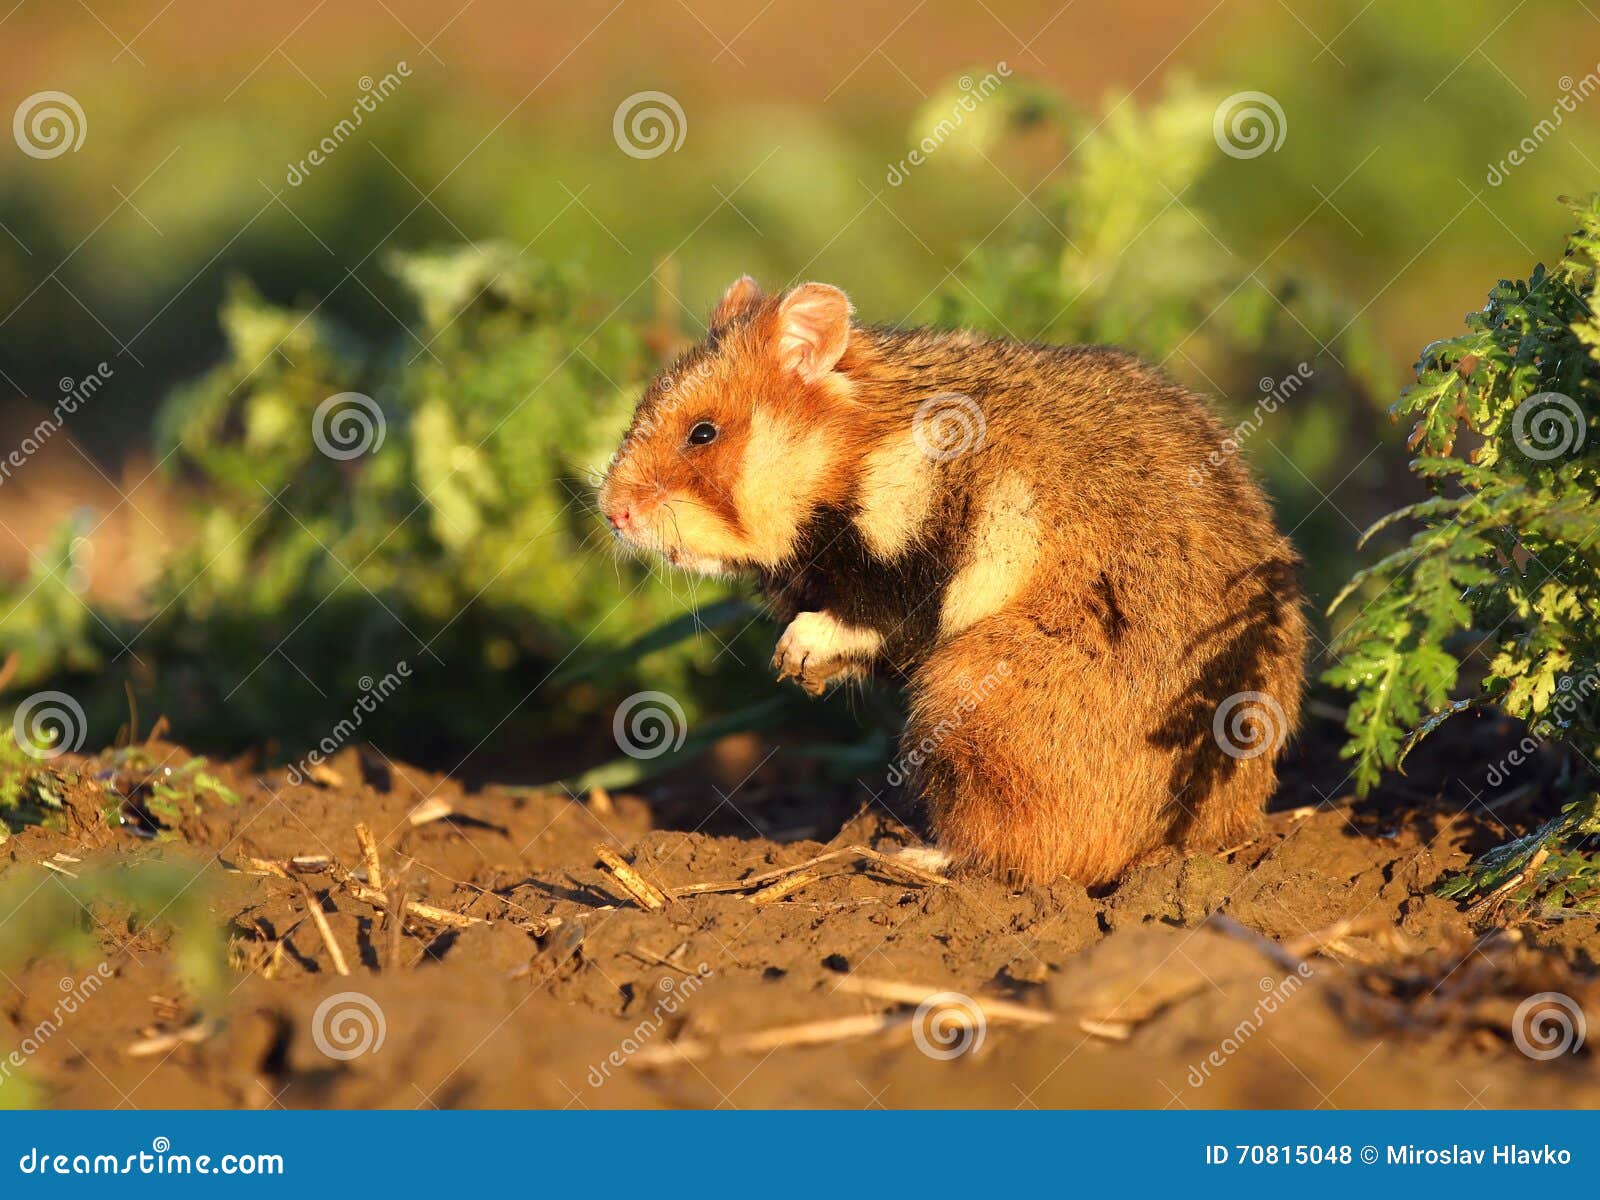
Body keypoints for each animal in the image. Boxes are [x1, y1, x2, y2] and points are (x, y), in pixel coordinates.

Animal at [598, 276, 1305, 885]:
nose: (609, 511)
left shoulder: (922, 565)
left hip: (967, 694)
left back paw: (912, 856)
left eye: (703, 432)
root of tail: (1204, 837)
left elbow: (867, 618)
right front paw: (800, 674)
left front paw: (796, 653)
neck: (856, 448)